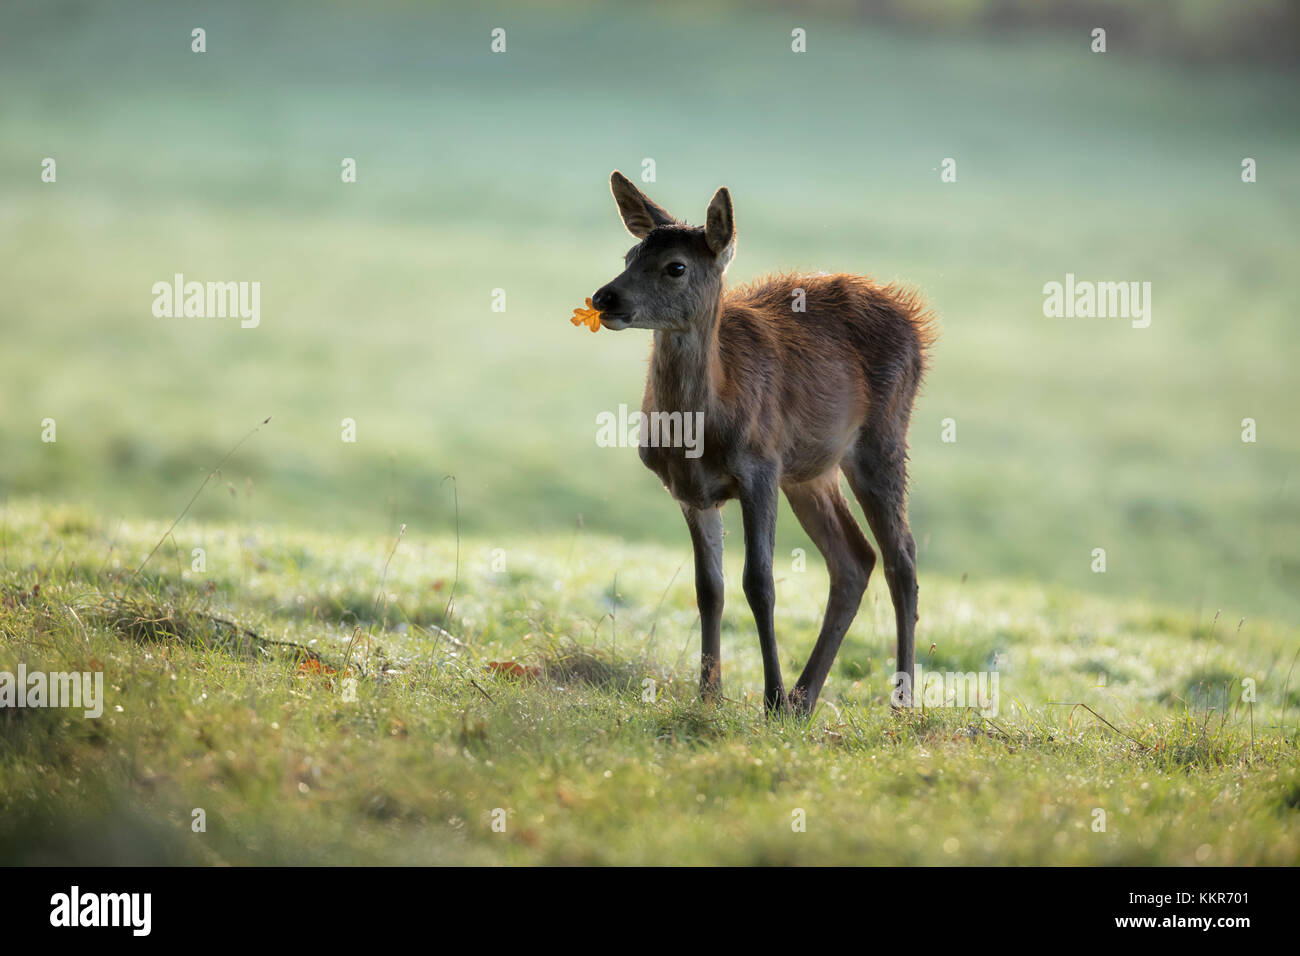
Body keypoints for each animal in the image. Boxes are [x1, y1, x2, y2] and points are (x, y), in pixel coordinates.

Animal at [589, 172, 934, 716]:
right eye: (629, 255)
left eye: (675, 266)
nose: (604, 298)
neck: (702, 427)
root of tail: (914, 317)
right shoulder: (690, 490)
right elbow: (708, 588)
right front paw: (709, 695)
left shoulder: (759, 467)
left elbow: (760, 582)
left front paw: (767, 697)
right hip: (810, 472)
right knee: (855, 559)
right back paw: (804, 698)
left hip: (883, 434)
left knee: (902, 557)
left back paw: (898, 702)